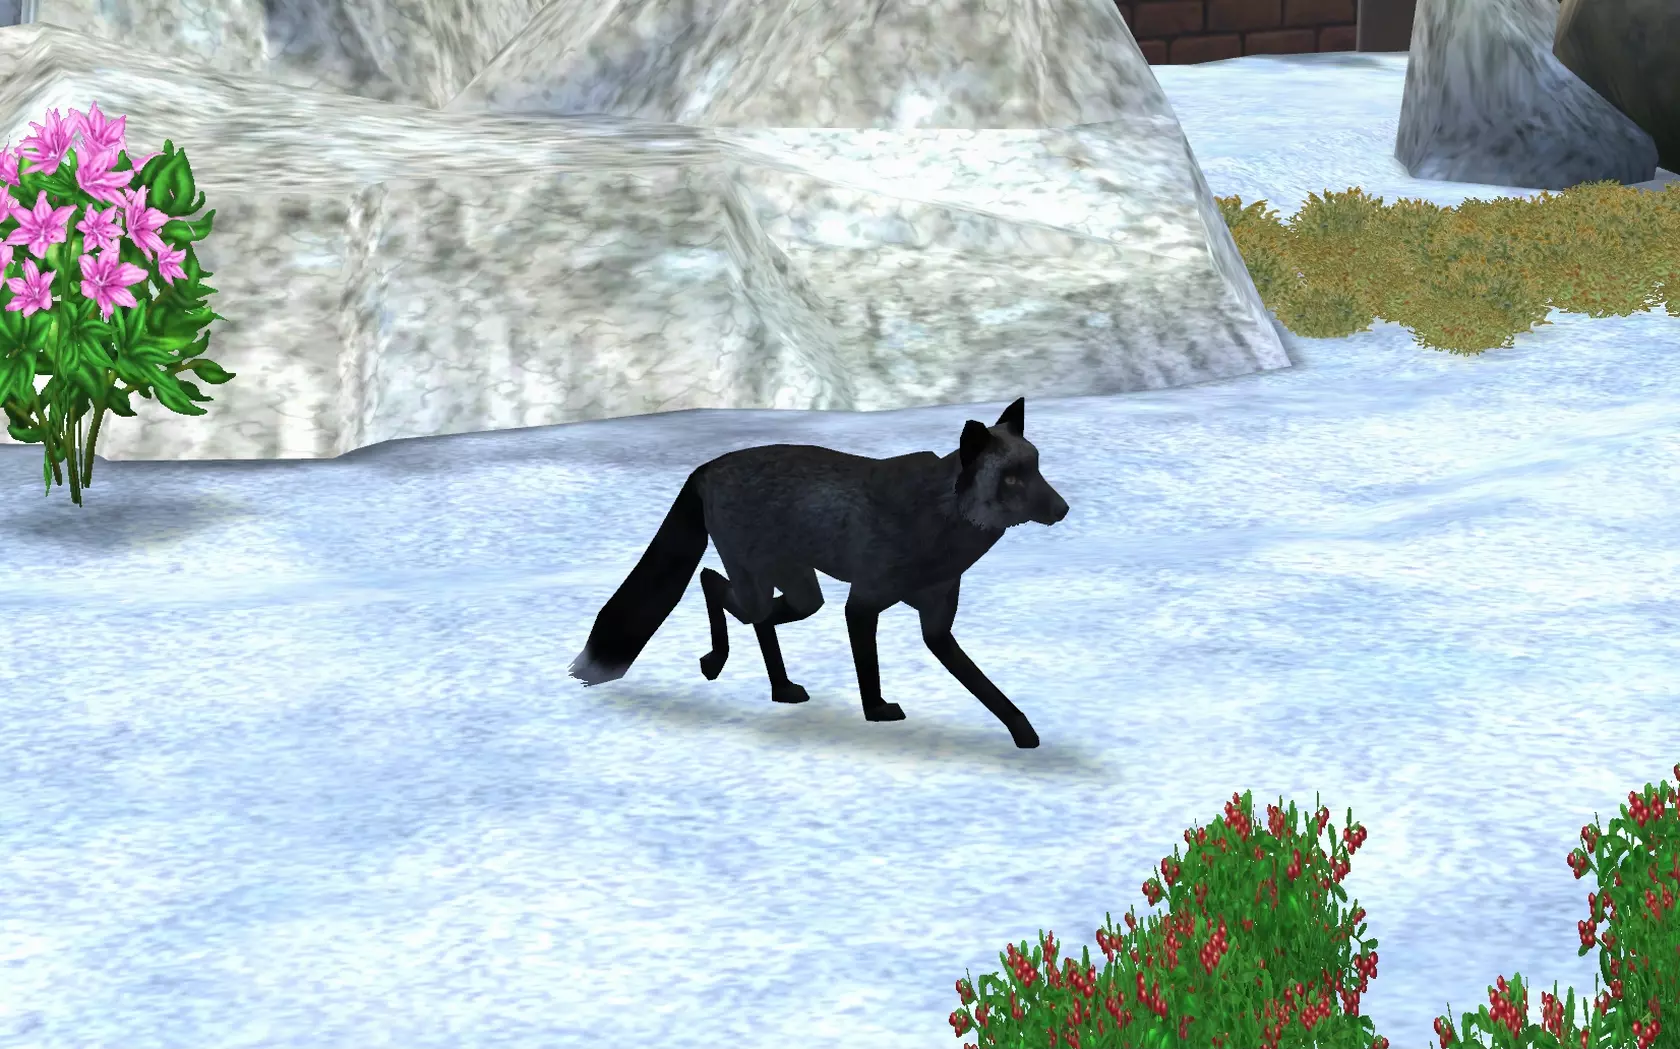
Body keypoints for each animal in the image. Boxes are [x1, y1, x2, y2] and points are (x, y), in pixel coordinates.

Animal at [568, 397, 1070, 749]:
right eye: (1011, 478)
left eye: (1037, 469)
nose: (1063, 509)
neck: (941, 521)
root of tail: (706, 466)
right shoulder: (862, 604)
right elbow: (870, 669)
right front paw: (877, 712)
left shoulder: (936, 626)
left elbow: (984, 686)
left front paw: (1023, 731)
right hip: (769, 582)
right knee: (719, 587)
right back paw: (726, 665)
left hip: (800, 591)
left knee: (744, 606)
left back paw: (774, 686)